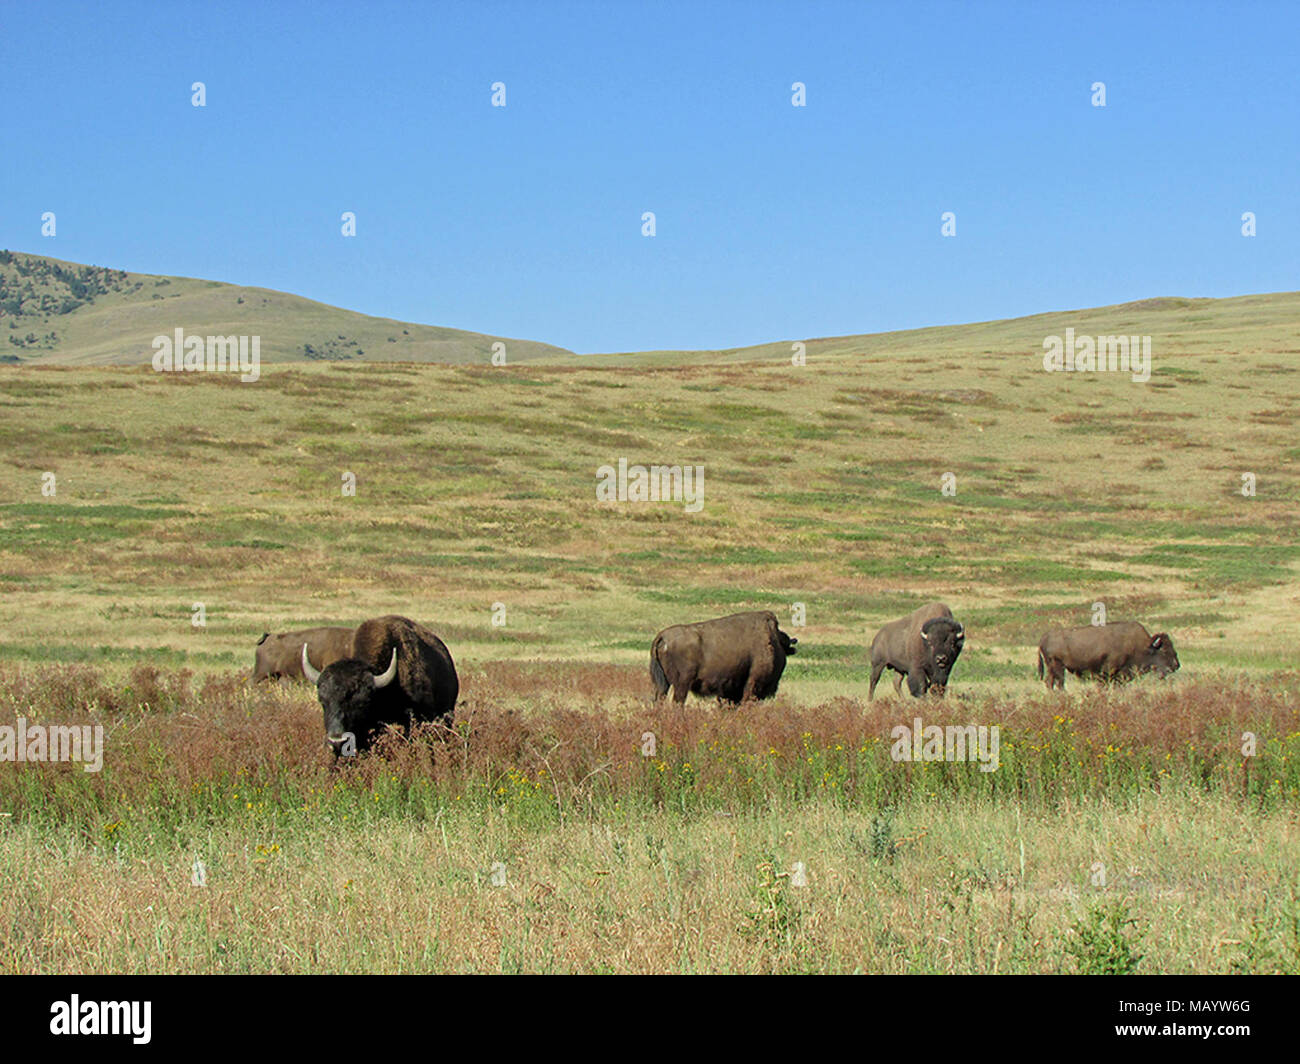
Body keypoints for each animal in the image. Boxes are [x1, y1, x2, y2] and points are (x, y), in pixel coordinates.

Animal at [1037, 622, 1178, 690]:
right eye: (1164, 650)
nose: (1176, 665)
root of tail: (1044, 637)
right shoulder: (1109, 671)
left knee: (1050, 682)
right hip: (1058, 666)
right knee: (1059, 683)